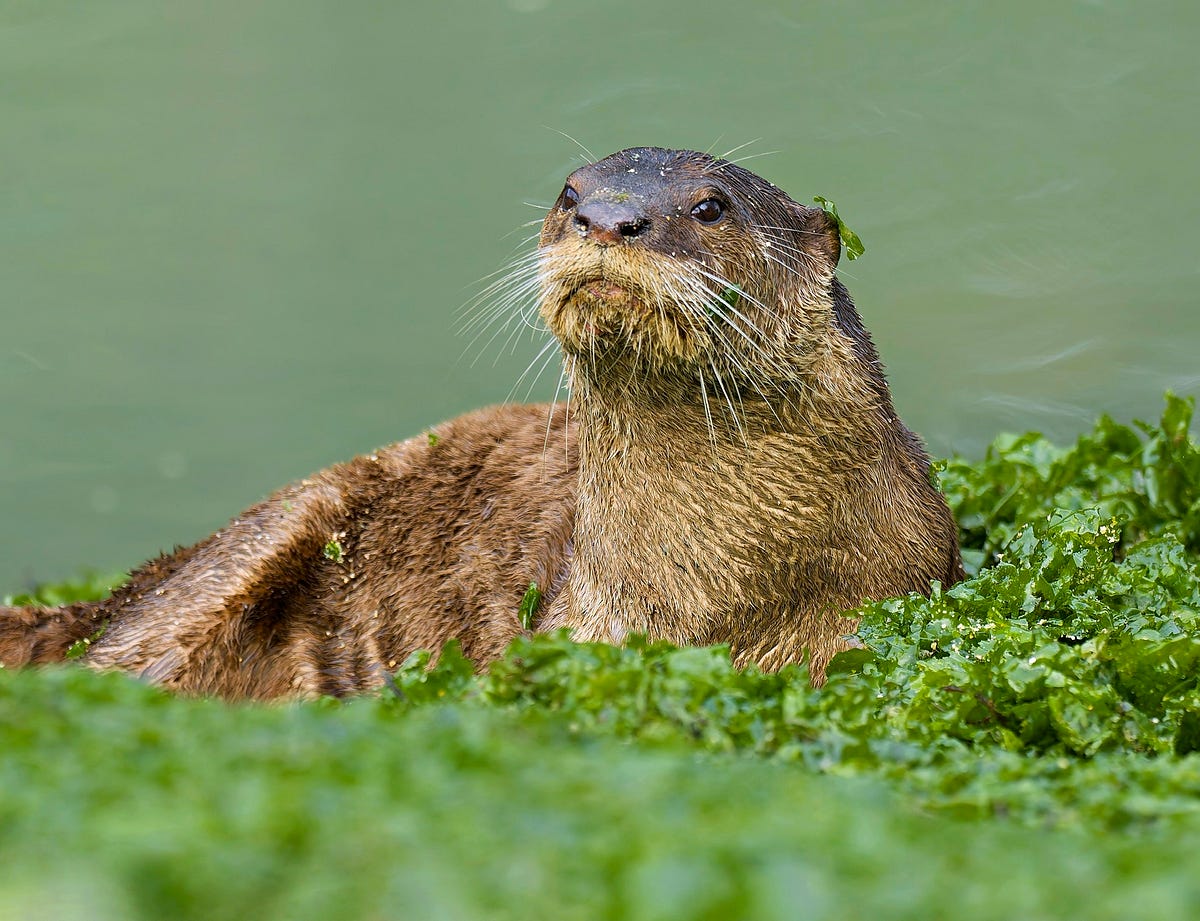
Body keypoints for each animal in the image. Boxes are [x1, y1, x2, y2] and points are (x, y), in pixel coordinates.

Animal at [0, 147, 964, 699]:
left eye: (710, 206)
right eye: (570, 191)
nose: (608, 219)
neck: (721, 593)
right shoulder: (577, 632)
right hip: (249, 549)